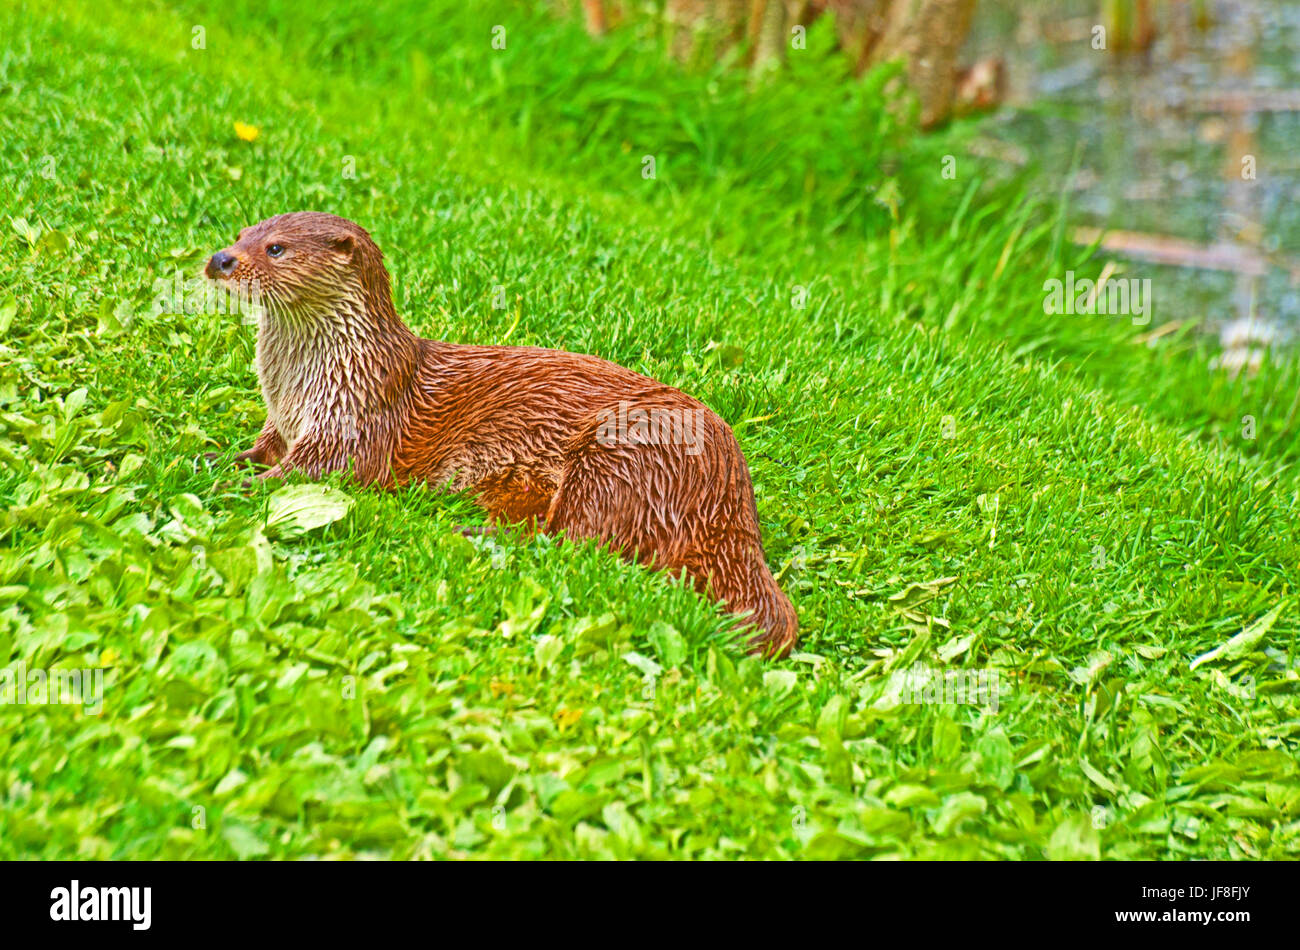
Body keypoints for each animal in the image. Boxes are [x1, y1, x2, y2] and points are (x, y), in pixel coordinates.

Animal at [205, 212, 797, 657]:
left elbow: (317, 471)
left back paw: (466, 532)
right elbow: (260, 450)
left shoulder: (353, 422)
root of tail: (734, 492)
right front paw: (218, 460)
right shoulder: (282, 421)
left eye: (276, 248)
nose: (221, 259)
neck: (304, 384)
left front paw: (234, 488)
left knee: (580, 544)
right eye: (241, 233)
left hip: (622, 458)